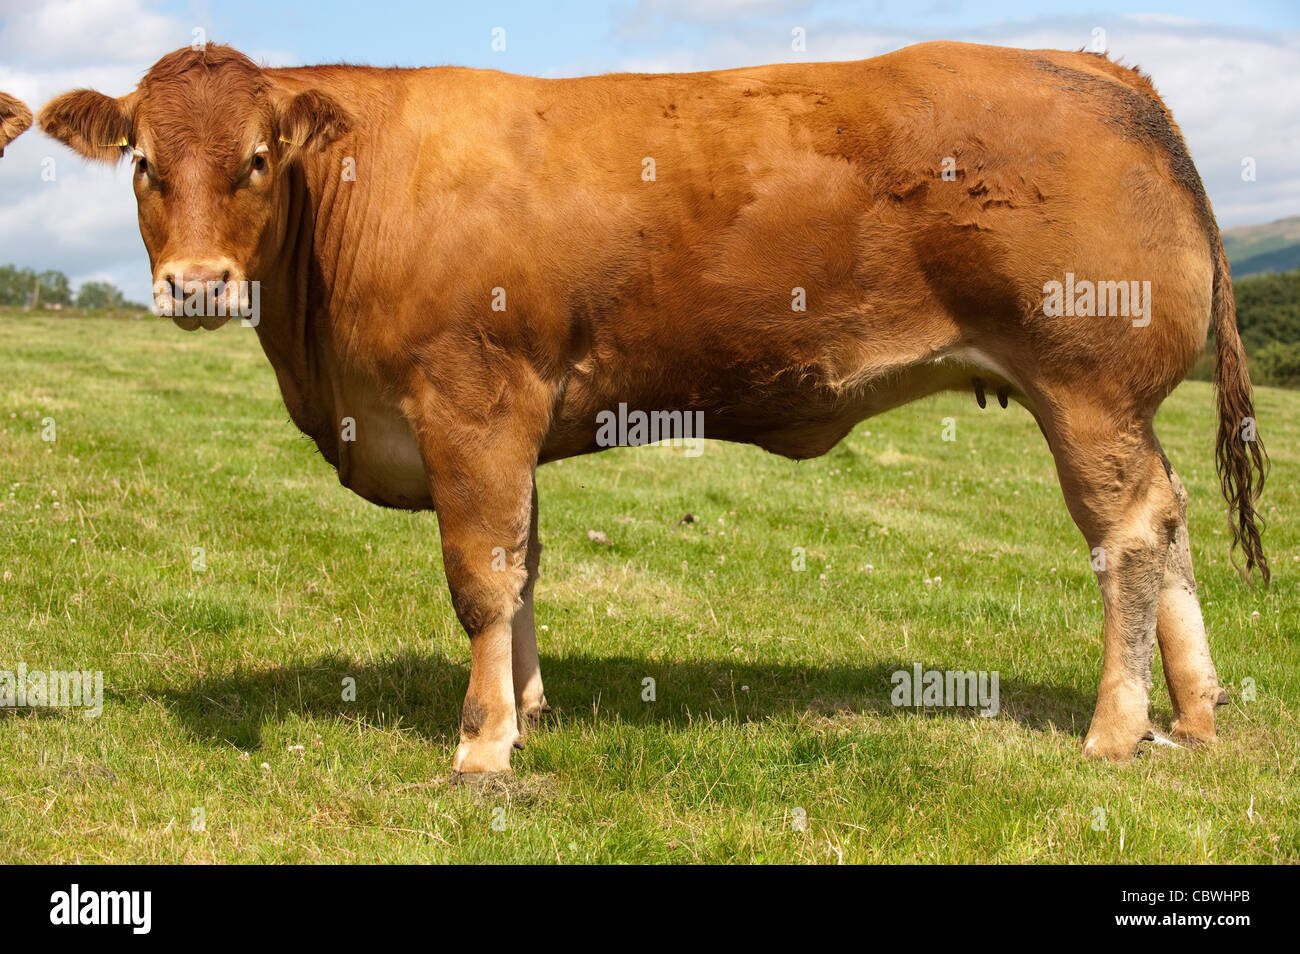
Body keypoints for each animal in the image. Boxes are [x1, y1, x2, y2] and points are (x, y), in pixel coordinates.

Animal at [39, 41, 1267, 776]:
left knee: (1129, 533)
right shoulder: (511, 420)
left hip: (1084, 388)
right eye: (141, 163)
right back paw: (1195, 714)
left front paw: (482, 749)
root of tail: (1100, 67)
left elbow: (479, 574)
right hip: (1114, 405)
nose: (197, 285)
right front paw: (529, 707)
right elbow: (525, 563)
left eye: (256, 159)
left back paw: (1117, 727)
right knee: (1171, 523)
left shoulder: (470, 402)